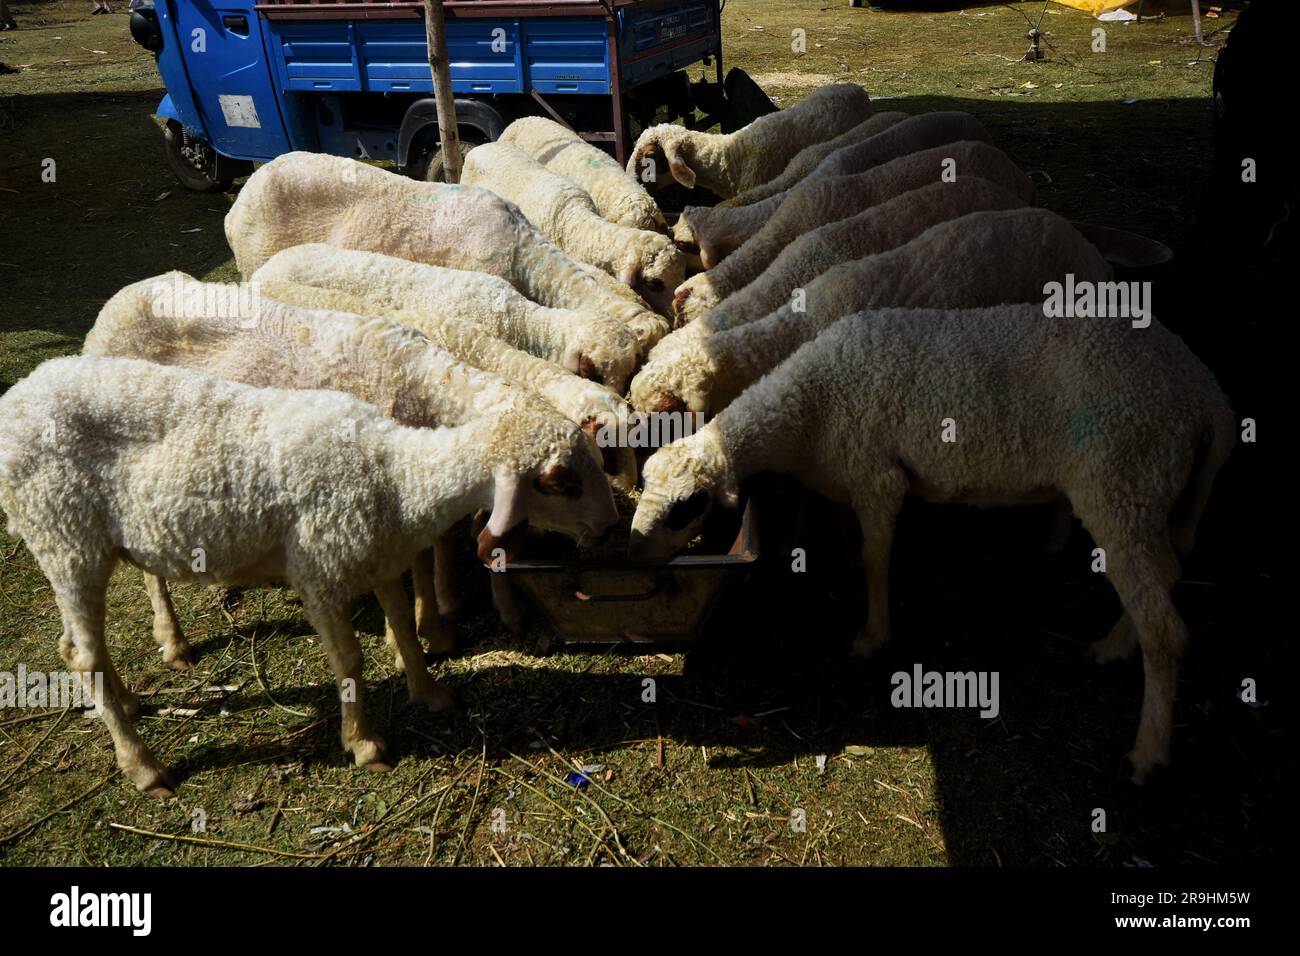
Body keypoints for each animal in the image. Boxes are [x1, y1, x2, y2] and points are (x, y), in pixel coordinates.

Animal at [0, 355, 619, 795]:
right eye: (559, 481)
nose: (609, 527)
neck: (396, 476)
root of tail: (19, 393)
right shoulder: (320, 573)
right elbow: (350, 662)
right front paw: (365, 744)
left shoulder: (381, 558)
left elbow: (405, 628)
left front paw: (429, 692)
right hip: (64, 534)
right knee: (82, 655)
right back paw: (145, 767)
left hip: (88, 542)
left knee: (75, 647)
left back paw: (126, 701)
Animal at [83, 271, 589, 658]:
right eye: (558, 483)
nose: (602, 535)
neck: (424, 388)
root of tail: (115, 304)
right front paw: (407, 637)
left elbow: (425, 557)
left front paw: (434, 629)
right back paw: (173, 641)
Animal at [630, 304, 1234, 783]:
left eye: (688, 505)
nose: (634, 551)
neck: (810, 408)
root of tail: (1208, 399)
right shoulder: (849, 480)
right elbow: (854, 543)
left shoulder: (878, 478)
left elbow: (877, 559)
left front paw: (872, 635)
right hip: (1147, 494)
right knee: (1165, 578)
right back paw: (1114, 646)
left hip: (1121, 480)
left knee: (1166, 628)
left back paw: (1148, 750)